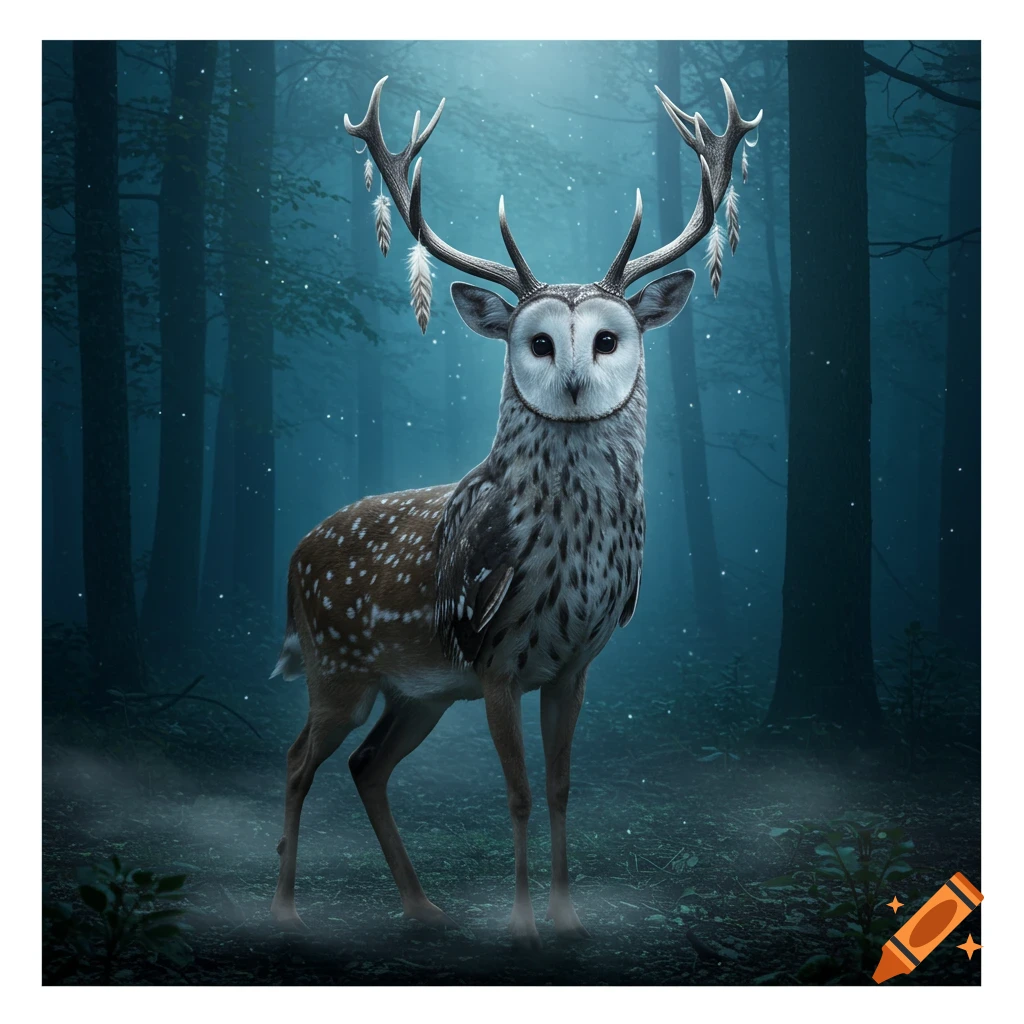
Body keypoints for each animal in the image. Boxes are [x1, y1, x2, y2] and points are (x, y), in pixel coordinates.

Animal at [269, 75, 761, 945]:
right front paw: (525, 925)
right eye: (537, 343)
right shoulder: (496, 657)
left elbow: (562, 788)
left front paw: (567, 917)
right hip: (338, 666)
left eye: (607, 340)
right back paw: (285, 909)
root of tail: (293, 557)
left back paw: (421, 906)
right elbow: (520, 792)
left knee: (366, 765)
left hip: (417, 690)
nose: (572, 381)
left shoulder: (575, 665)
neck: (575, 543)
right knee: (299, 760)